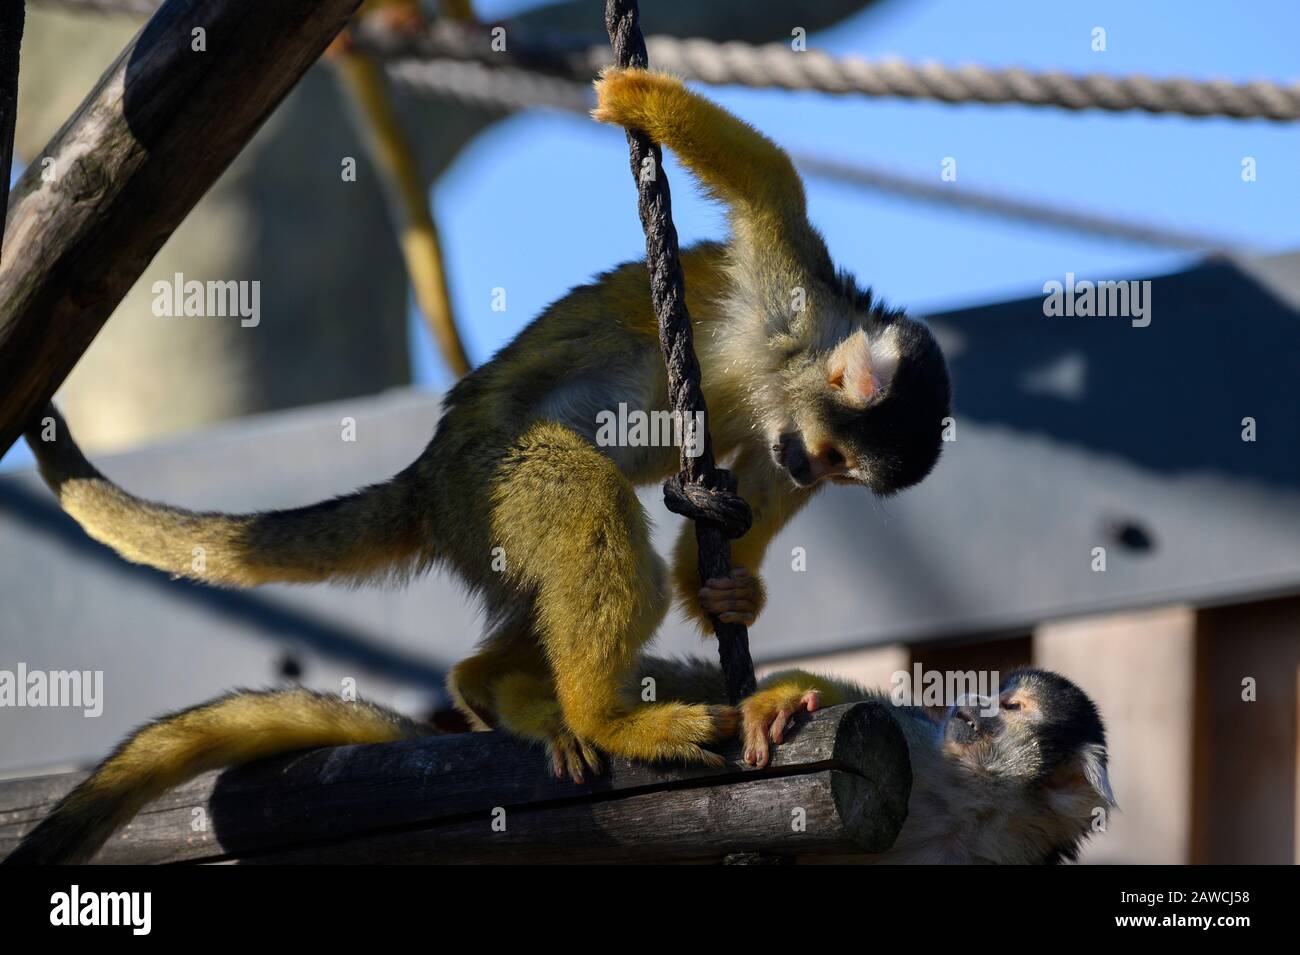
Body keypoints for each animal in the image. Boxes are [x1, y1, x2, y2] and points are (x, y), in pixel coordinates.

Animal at [22, 68, 951, 780]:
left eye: (835, 470)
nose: (807, 472)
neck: (785, 368)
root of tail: (427, 478)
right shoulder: (787, 283)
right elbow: (768, 178)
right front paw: (640, 95)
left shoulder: (776, 415)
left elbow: (710, 543)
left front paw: (730, 589)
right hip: (489, 475)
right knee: (586, 502)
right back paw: (603, 717)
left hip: (485, 524)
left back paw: (493, 687)